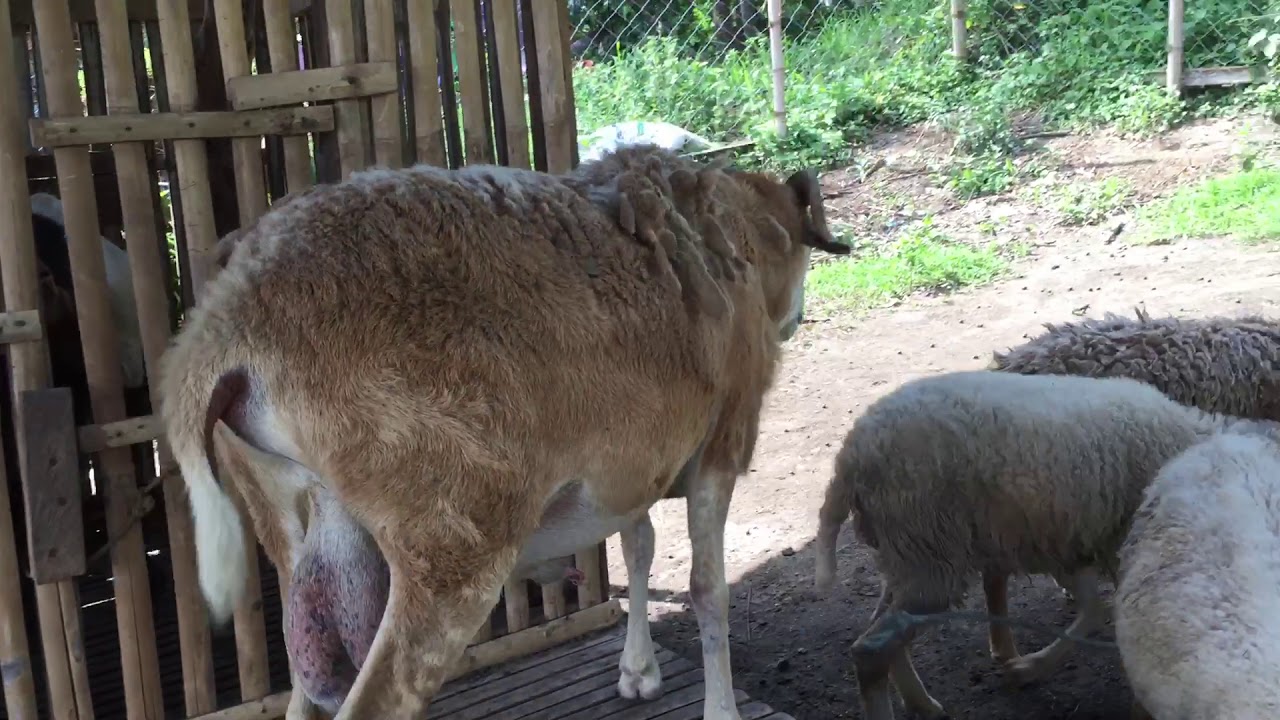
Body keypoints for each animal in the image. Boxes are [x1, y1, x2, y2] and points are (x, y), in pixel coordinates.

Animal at [159, 143, 849, 720]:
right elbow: (709, 591)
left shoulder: (633, 465)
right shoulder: (720, 448)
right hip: (451, 541)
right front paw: (719, 708)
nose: (797, 318)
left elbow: (640, 545)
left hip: (292, 530)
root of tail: (225, 323)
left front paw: (638, 673)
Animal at [812, 370, 1256, 720]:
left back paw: (922, 703)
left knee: (885, 633)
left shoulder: (1078, 540)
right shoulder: (1115, 545)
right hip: (928, 555)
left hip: (908, 554)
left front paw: (1026, 667)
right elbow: (1103, 614)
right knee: (871, 651)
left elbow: (1093, 609)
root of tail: (849, 458)